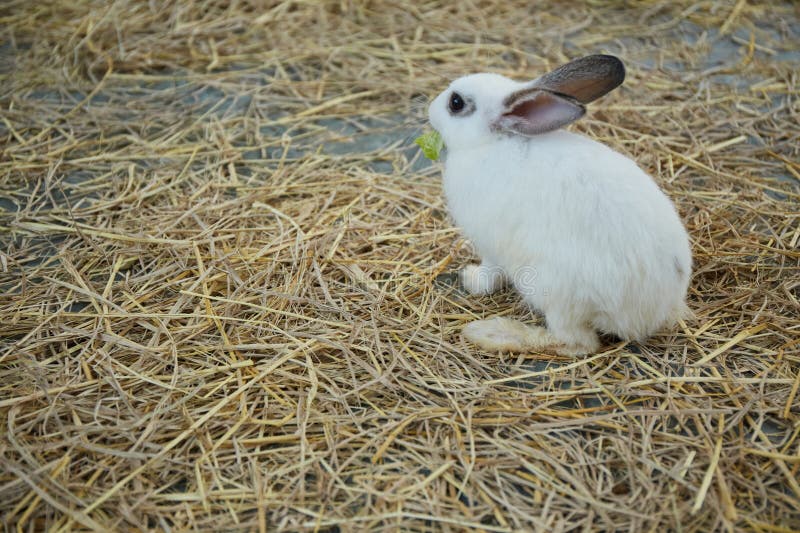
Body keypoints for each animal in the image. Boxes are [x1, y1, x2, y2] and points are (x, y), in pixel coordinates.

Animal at [428, 55, 692, 355]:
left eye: (456, 103)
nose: (430, 108)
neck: (493, 141)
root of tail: (648, 315)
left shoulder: (489, 245)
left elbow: (490, 272)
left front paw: (472, 280)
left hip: (552, 293)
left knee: (577, 342)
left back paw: (491, 333)